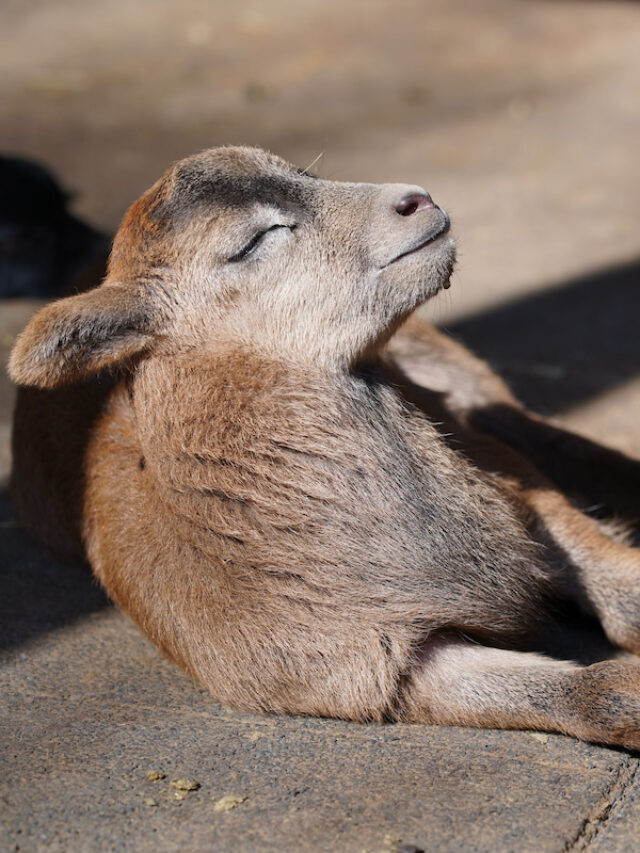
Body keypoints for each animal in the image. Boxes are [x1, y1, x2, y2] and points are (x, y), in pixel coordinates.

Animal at [9, 146, 640, 747]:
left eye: (304, 175)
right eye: (253, 241)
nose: (417, 200)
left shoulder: (508, 483)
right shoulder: (382, 666)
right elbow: (586, 693)